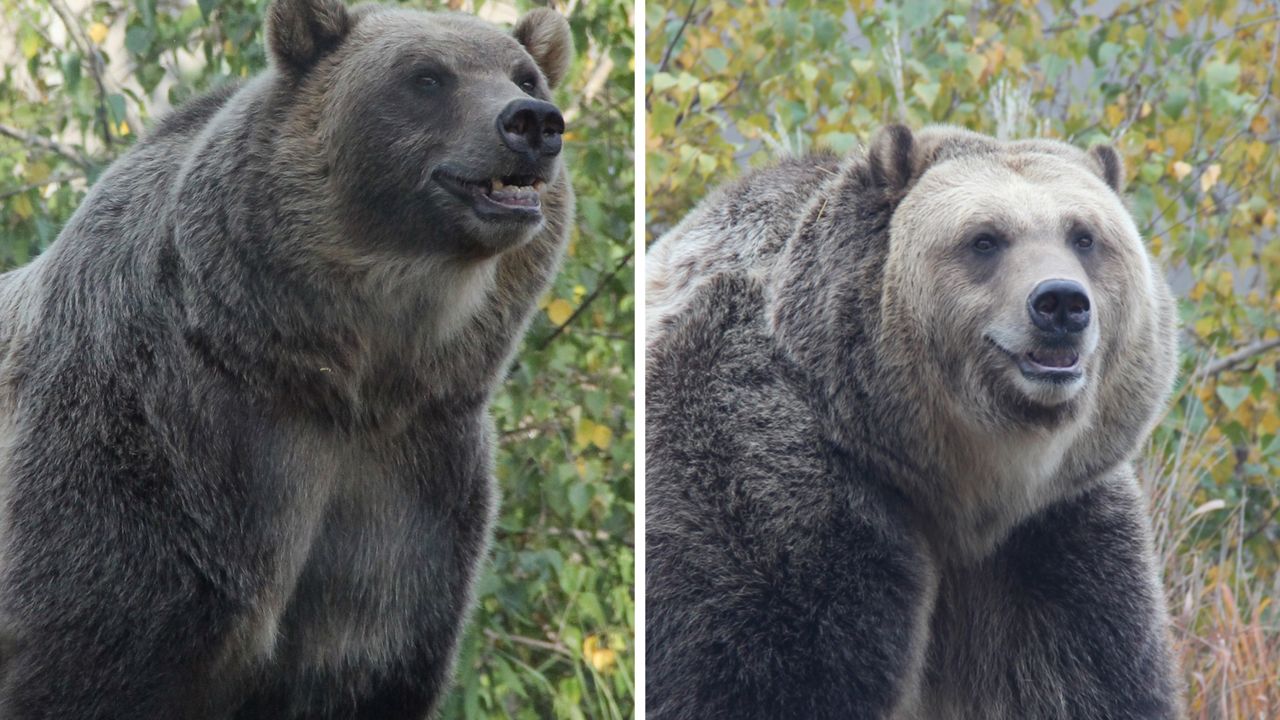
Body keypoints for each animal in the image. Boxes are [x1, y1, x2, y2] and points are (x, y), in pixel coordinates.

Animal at [0, 1, 572, 718]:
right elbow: (78, 654)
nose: (532, 122)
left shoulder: (411, 490)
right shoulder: (150, 455)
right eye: (427, 77)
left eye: (525, 75)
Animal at [645, 125, 1181, 719]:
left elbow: (1082, 677)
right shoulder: (760, 475)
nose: (1061, 302)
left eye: (1084, 237)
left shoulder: (1054, 537)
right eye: (985, 239)